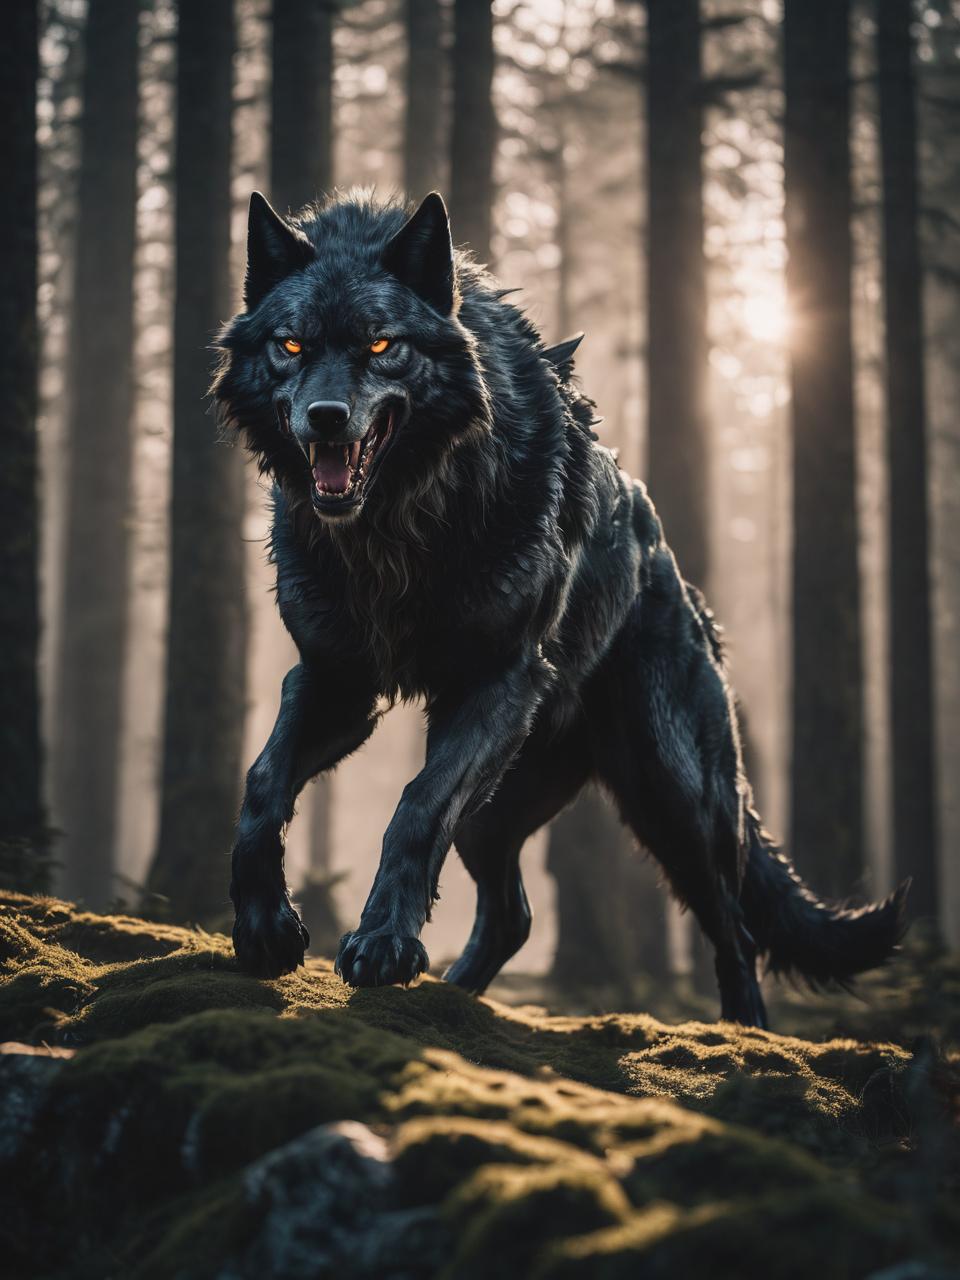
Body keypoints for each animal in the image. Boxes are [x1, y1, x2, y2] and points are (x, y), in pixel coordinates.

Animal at [213, 189, 907, 1027]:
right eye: (290, 344)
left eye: (381, 344)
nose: (323, 416)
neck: (403, 528)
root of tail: (684, 589)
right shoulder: (336, 683)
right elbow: (261, 784)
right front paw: (265, 929)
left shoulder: (498, 682)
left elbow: (414, 807)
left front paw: (379, 945)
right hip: (497, 811)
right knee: (513, 914)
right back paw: (452, 997)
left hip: (675, 801)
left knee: (734, 929)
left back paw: (750, 1035)